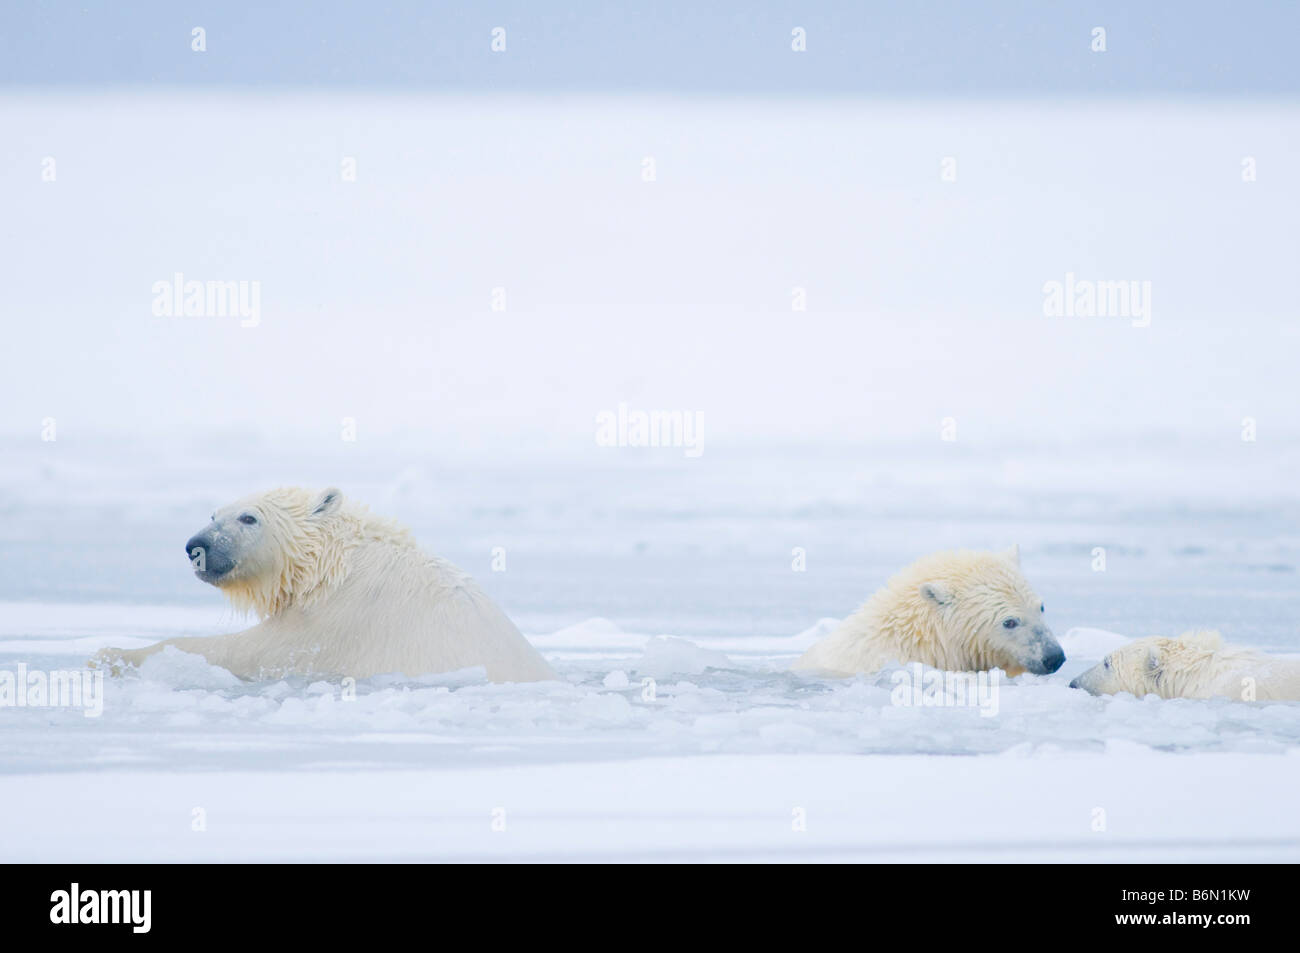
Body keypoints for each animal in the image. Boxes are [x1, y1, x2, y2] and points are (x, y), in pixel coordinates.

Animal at [94, 487, 557, 683]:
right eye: (213, 514)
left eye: (248, 517)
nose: (197, 546)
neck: (335, 562)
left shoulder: (339, 618)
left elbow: (250, 651)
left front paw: (112, 654)